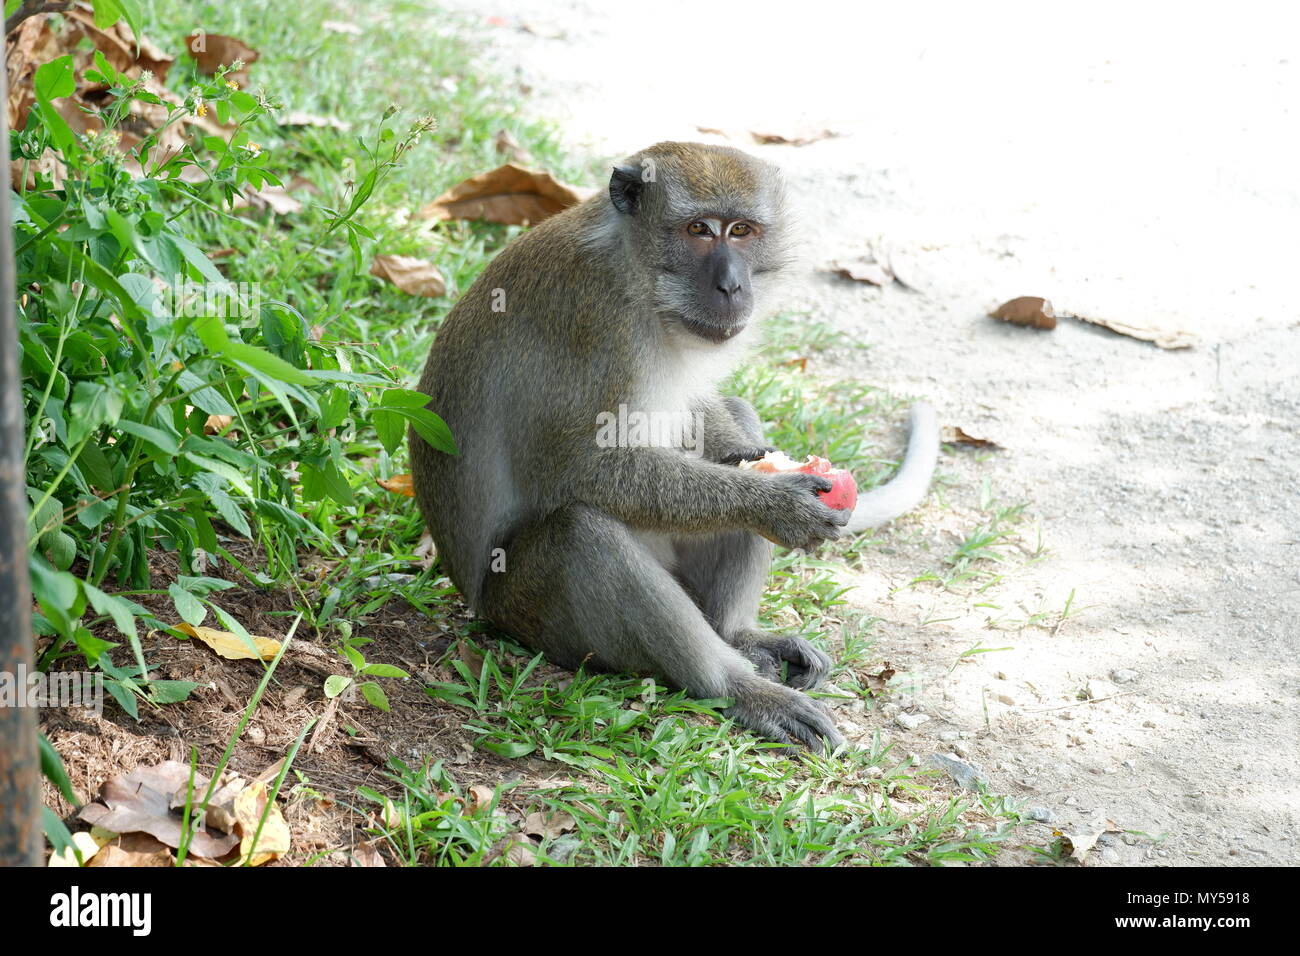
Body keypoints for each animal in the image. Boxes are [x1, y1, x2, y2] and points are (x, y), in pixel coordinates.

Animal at [410, 142, 937, 753]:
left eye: (742, 230)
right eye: (698, 230)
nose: (732, 286)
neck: (636, 275)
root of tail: (476, 602)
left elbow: (707, 414)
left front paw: (753, 465)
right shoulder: (593, 325)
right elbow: (580, 469)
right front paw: (775, 504)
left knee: (728, 423)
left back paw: (737, 633)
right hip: (525, 610)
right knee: (581, 535)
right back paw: (737, 687)